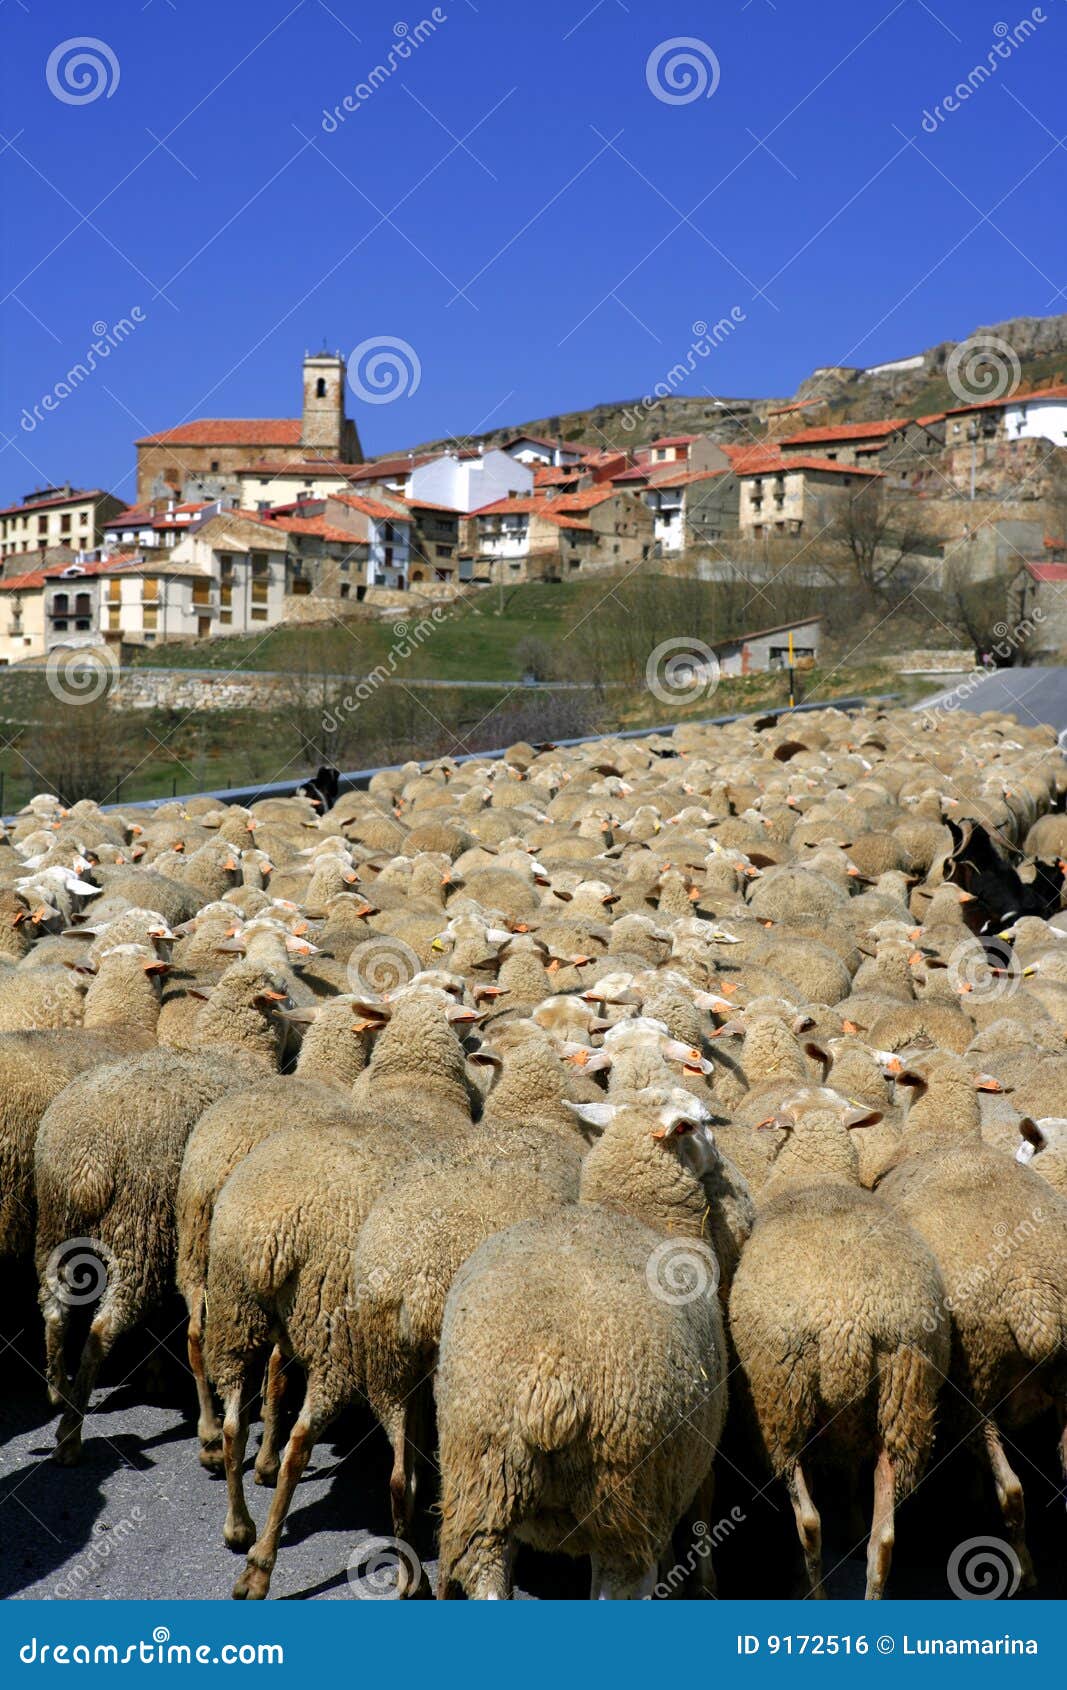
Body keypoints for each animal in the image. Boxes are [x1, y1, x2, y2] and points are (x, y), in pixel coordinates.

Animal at [435, 1088, 729, 1599]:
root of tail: (548, 1379)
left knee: (486, 1568)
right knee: (622, 1579)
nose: (722, 1160)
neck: (633, 1211)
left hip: (483, 1474)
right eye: (701, 1121)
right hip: (623, 1495)